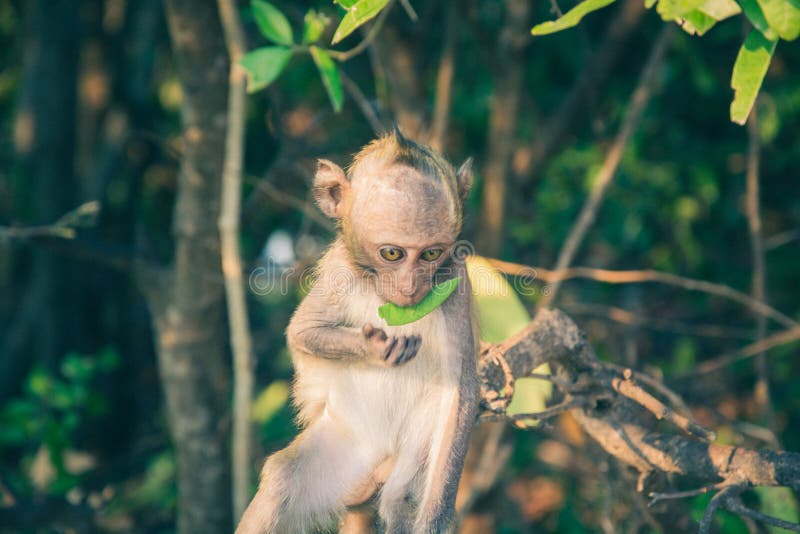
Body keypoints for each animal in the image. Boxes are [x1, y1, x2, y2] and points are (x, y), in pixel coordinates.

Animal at [237, 128, 479, 534]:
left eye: (431, 254)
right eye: (392, 254)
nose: (410, 288)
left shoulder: (457, 281)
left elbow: (461, 389)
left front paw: (434, 519)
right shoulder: (339, 270)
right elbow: (303, 331)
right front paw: (376, 348)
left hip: (413, 453)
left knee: (401, 500)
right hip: (343, 446)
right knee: (282, 480)